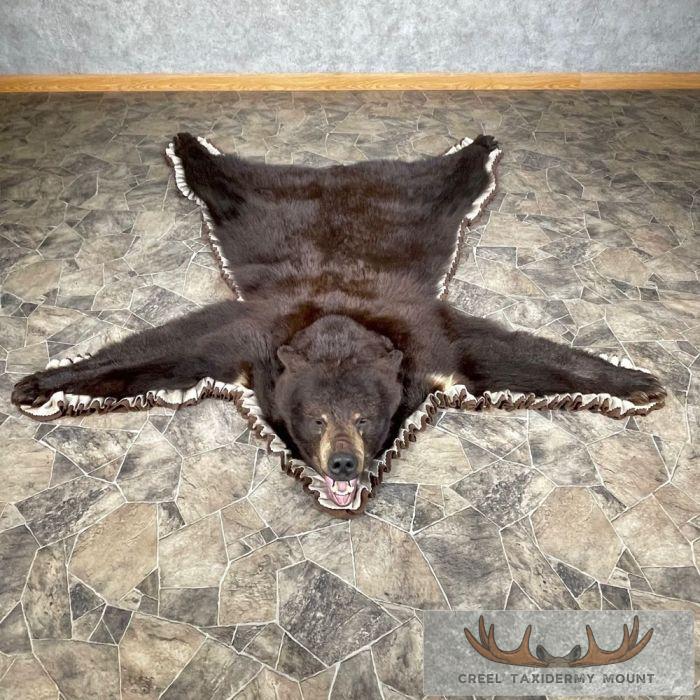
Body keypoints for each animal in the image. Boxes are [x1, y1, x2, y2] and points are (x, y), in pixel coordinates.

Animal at [11, 132, 666, 510]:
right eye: (318, 419)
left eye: (364, 417)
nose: (344, 462)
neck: (336, 326)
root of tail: (336, 173)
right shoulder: (251, 340)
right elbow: (170, 349)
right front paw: (42, 384)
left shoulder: (426, 341)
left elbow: (498, 351)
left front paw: (633, 381)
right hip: (255, 205)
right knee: (225, 182)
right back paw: (191, 146)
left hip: (418, 203)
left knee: (448, 180)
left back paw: (476, 147)